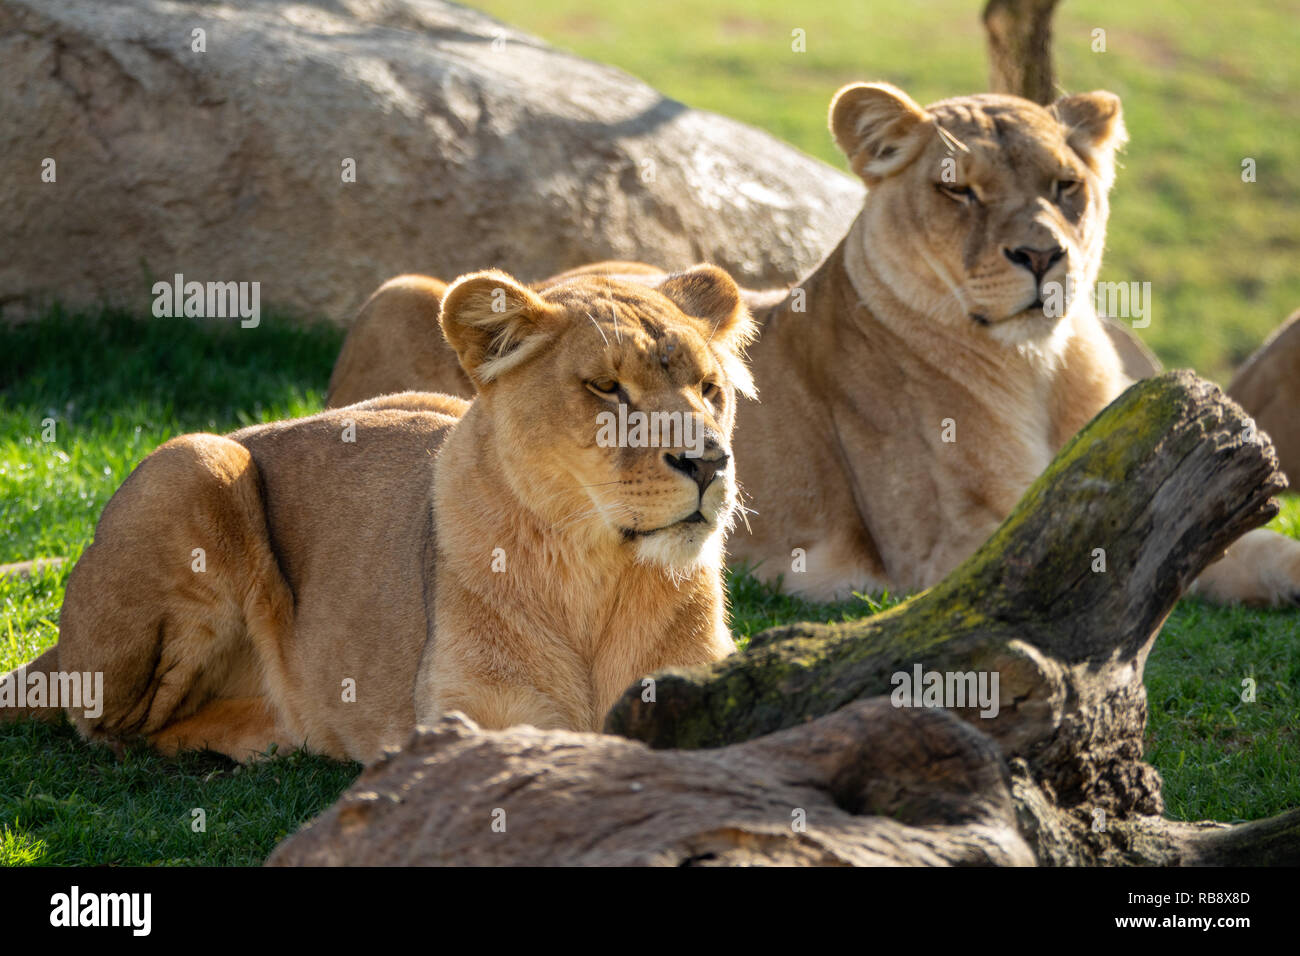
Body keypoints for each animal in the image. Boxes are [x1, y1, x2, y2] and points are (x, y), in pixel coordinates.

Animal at [0, 267, 753, 763]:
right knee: (115, 730)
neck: (598, 574)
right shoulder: (466, 718)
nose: (709, 462)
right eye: (605, 388)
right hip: (198, 458)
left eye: (709, 389)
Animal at [325, 83, 1300, 607]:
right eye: (959, 191)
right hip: (404, 291)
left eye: (1066, 186)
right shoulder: (954, 549)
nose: (1042, 256)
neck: (1044, 365)